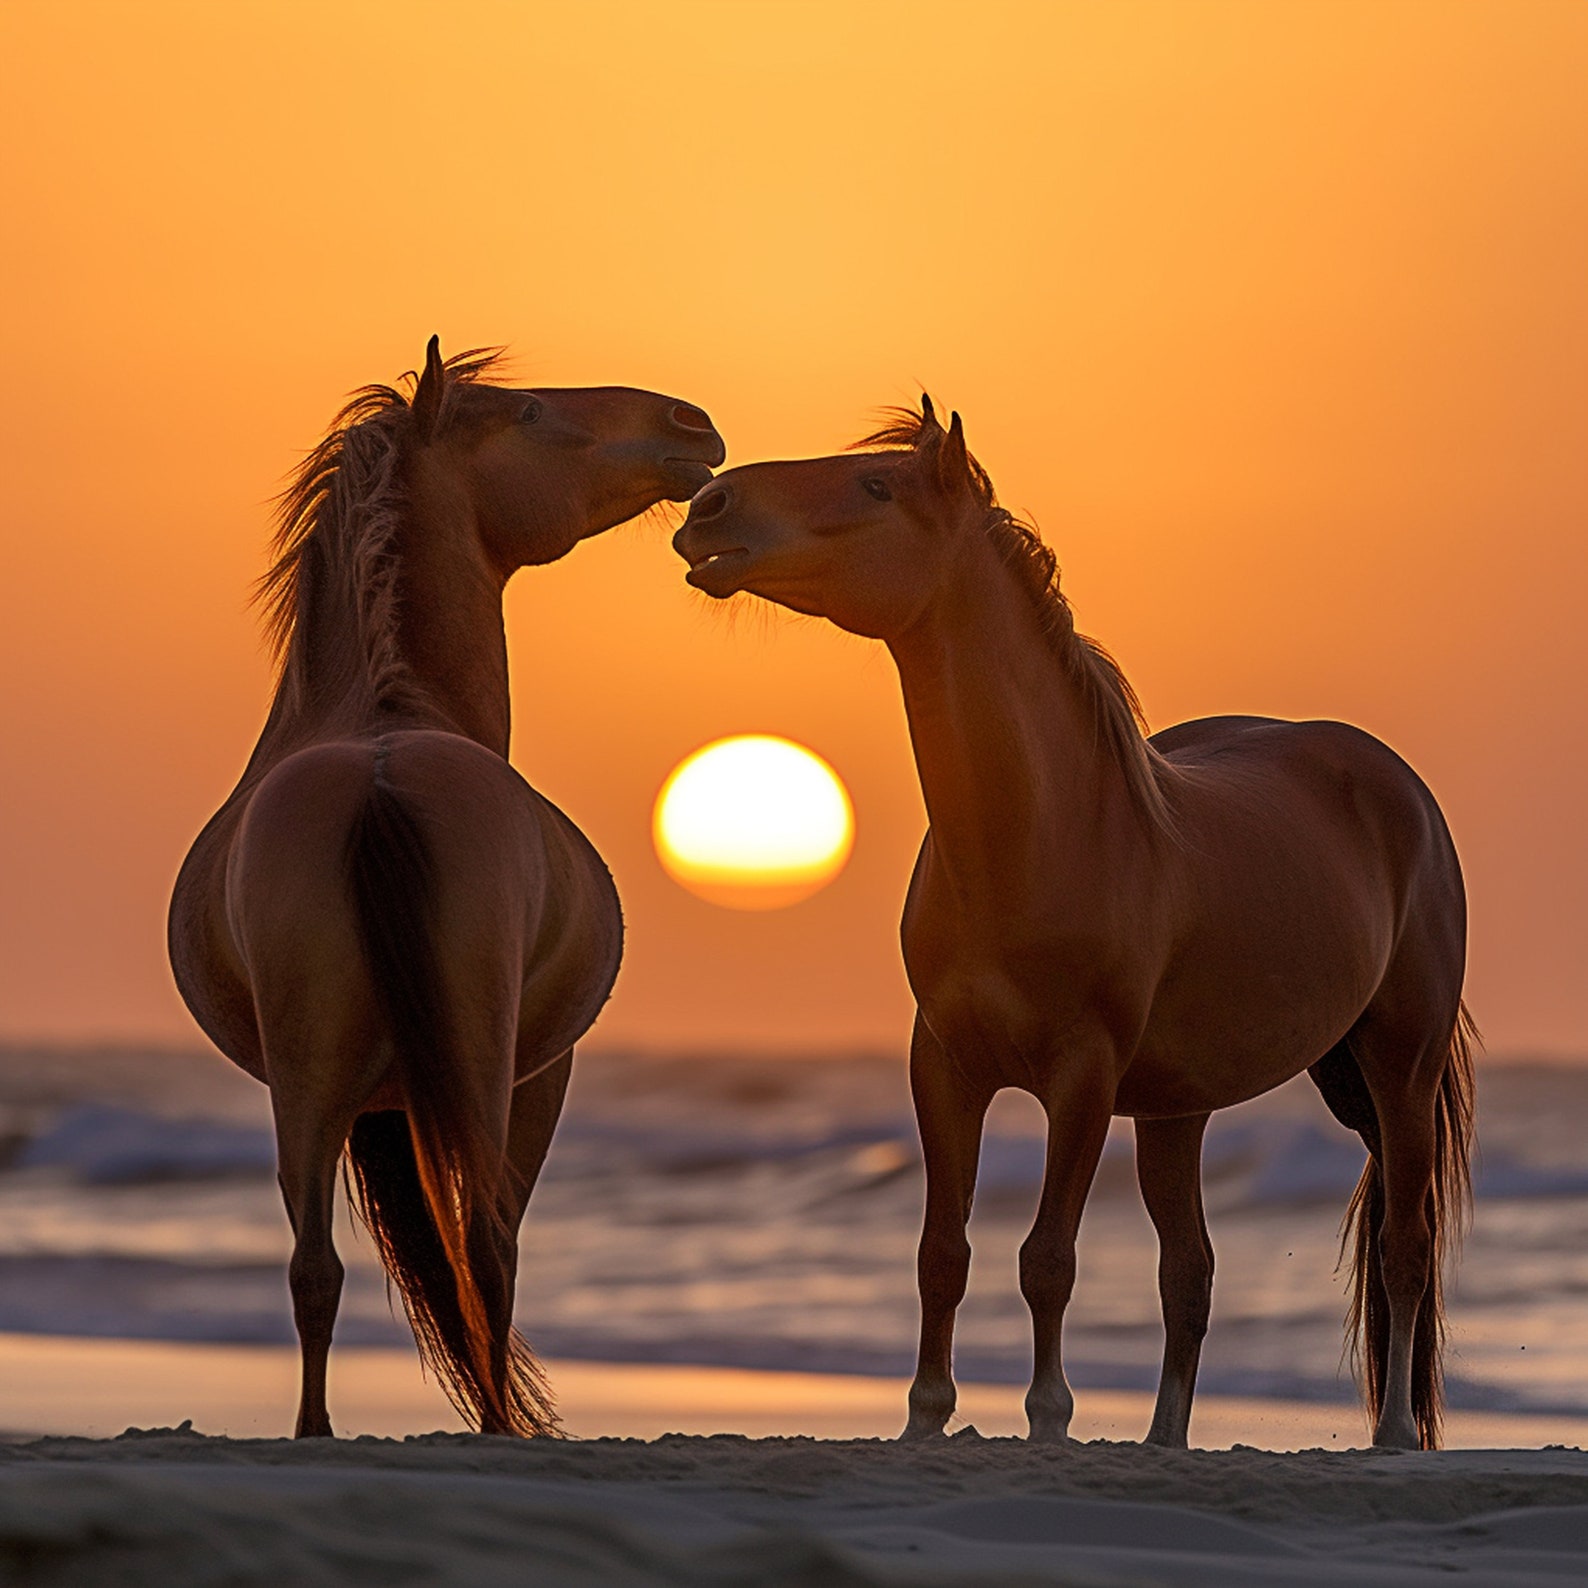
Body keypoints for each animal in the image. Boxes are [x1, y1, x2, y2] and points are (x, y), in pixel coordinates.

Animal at [169, 338, 724, 1437]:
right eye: (529, 413)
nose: (691, 424)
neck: (389, 702)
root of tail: (383, 782)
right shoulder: (539, 1075)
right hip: (477, 1072)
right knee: (488, 1253)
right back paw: (502, 1427)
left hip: (308, 1087)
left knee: (314, 1268)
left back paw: (315, 1433)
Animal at [673, 397, 1474, 1451]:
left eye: (876, 486)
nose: (708, 508)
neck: (1039, 839)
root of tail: (1400, 787)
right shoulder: (945, 1067)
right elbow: (943, 1251)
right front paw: (926, 1418)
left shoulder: (1082, 1079)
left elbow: (1047, 1257)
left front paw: (1048, 1416)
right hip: (1181, 1107)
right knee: (1191, 1272)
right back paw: (1164, 1441)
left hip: (1398, 1066)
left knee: (1405, 1243)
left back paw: (1392, 1438)